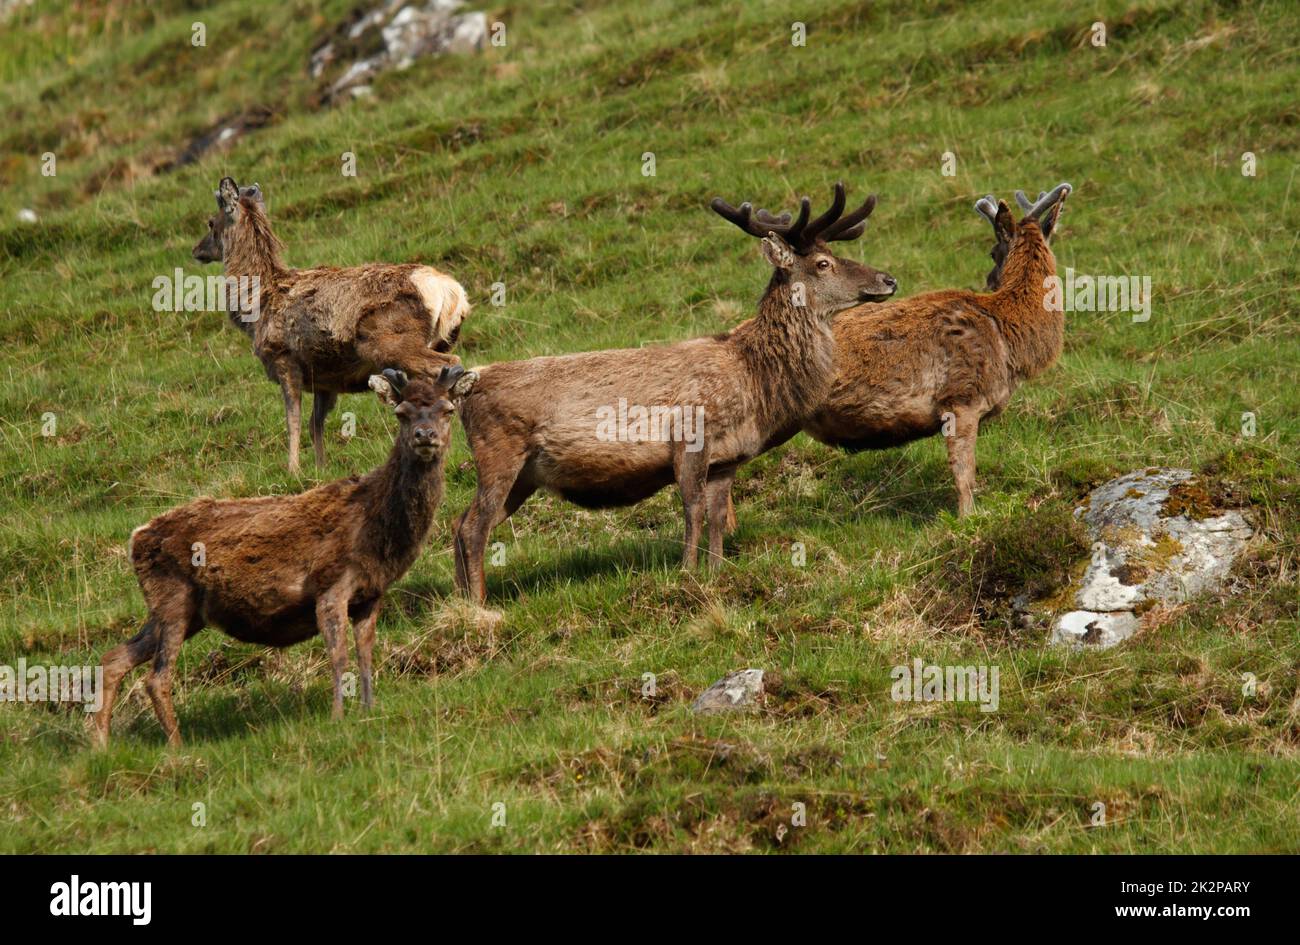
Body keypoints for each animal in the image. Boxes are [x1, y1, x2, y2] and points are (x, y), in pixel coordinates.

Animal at [92, 365, 464, 748]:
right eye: (402, 413)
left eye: (448, 409)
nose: (425, 435)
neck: (377, 535)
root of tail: (135, 539)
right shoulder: (330, 584)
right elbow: (338, 655)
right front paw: (338, 717)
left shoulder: (370, 595)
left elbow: (365, 654)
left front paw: (368, 710)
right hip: (172, 597)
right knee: (156, 677)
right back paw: (175, 746)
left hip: (181, 610)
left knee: (115, 658)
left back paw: (100, 744)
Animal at [192, 177, 470, 473]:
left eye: (210, 222)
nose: (196, 250)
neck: (257, 305)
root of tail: (453, 293)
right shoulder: (324, 377)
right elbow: (315, 424)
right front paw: (320, 468)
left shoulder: (284, 358)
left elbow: (293, 420)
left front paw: (293, 470)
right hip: (435, 341)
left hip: (392, 342)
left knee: (448, 364)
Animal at [450, 183, 898, 603]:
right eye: (823, 263)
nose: (889, 279)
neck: (754, 383)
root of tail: (465, 390)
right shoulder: (690, 436)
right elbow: (692, 508)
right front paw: (686, 572)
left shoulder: (727, 458)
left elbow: (717, 515)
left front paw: (716, 571)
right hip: (499, 452)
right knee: (473, 526)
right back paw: (480, 604)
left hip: (525, 475)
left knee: (459, 522)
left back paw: (460, 601)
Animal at [721, 183, 1070, 523]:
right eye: (993, 251)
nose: (989, 279)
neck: (1007, 334)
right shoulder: (961, 397)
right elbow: (965, 475)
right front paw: (968, 520)